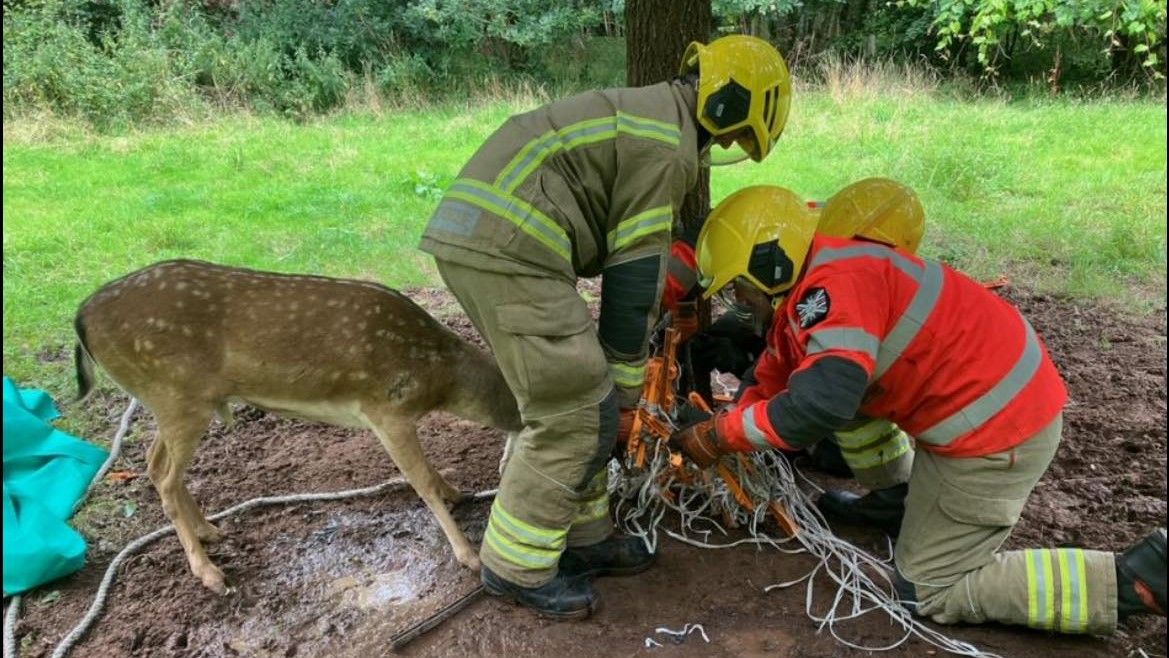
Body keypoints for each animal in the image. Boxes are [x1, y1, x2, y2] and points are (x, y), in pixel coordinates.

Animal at [74, 259, 522, 594]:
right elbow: (420, 480)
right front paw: (468, 555)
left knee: (155, 465)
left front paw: (456, 492)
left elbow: (429, 470)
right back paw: (210, 573)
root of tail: (80, 316)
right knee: (166, 479)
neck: (438, 379)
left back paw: (209, 531)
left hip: (170, 402)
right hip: (175, 394)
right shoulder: (386, 410)